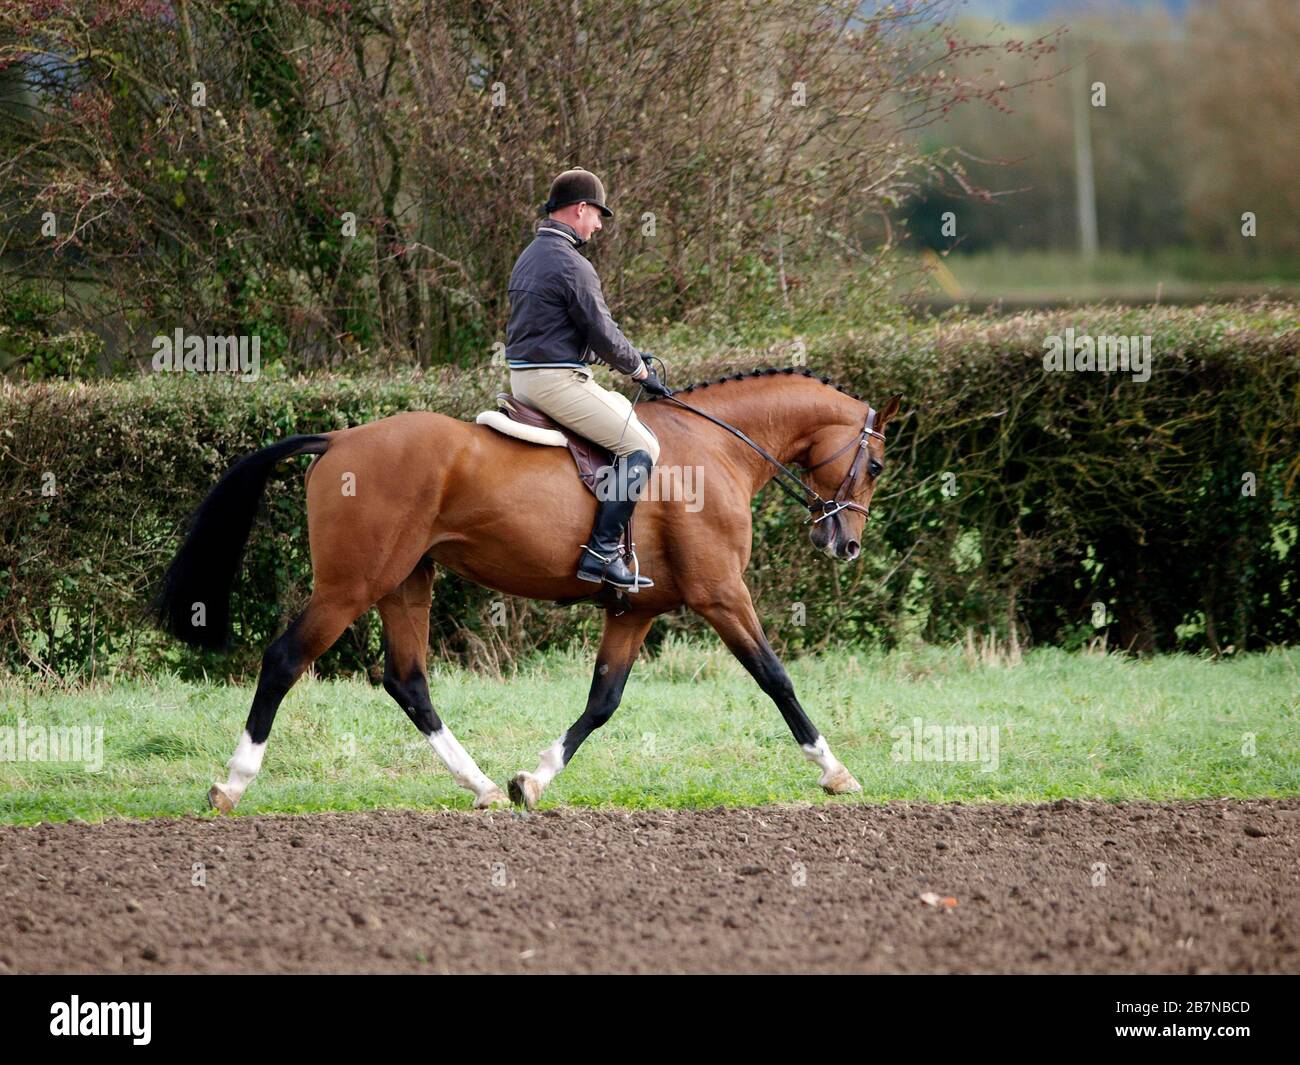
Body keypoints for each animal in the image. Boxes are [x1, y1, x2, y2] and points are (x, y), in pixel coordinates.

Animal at [155, 367, 901, 812]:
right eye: (876, 465)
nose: (847, 544)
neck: (715, 451)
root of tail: (339, 439)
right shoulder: (721, 593)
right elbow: (776, 677)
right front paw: (835, 771)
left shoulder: (637, 610)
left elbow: (602, 701)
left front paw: (531, 779)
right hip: (350, 585)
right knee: (286, 660)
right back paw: (232, 783)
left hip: (405, 582)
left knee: (408, 681)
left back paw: (482, 785)